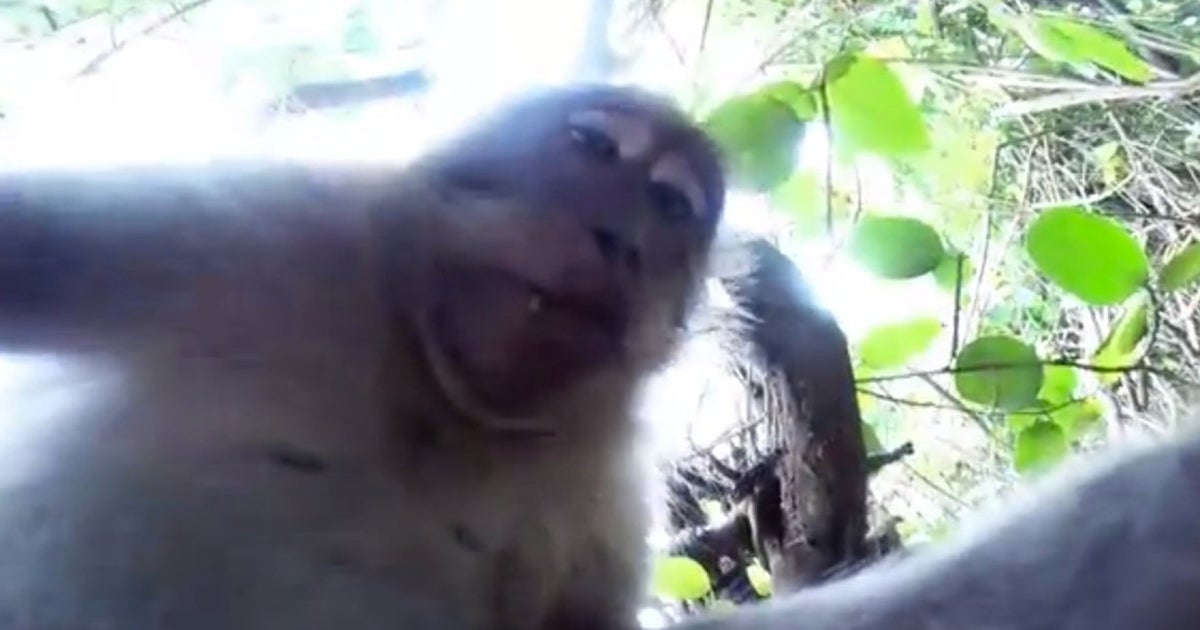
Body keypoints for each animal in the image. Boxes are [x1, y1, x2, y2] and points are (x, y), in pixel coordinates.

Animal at [0, 84, 726, 630]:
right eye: (593, 146)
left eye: (669, 204)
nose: (619, 240)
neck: (436, 399)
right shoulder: (281, 231)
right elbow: (30, 245)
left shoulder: (605, 495)